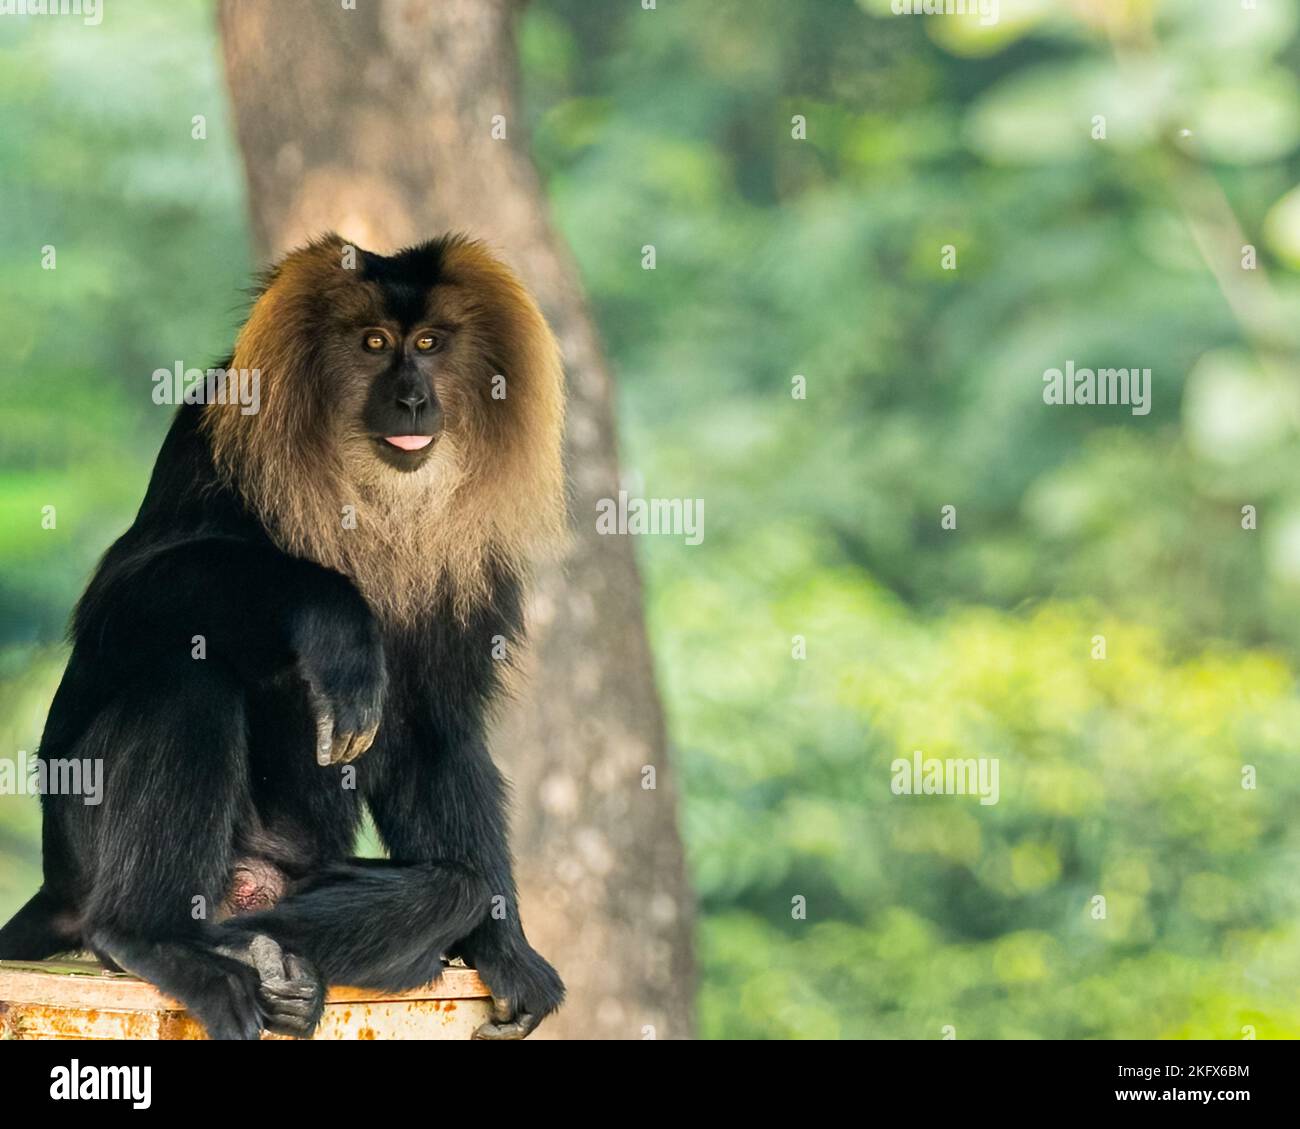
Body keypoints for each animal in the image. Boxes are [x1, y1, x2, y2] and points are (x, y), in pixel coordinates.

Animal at [0, 234, 567, 1040]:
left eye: (428, 344)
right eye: (373, 344)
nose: (413, 399)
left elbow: (438, 730)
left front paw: (507, 947)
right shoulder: (210, 430)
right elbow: (120, 598)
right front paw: (339, 625)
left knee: (449, 887)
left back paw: (282, 969)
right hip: (86, 848)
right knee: (187, 674)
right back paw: (160, 942)